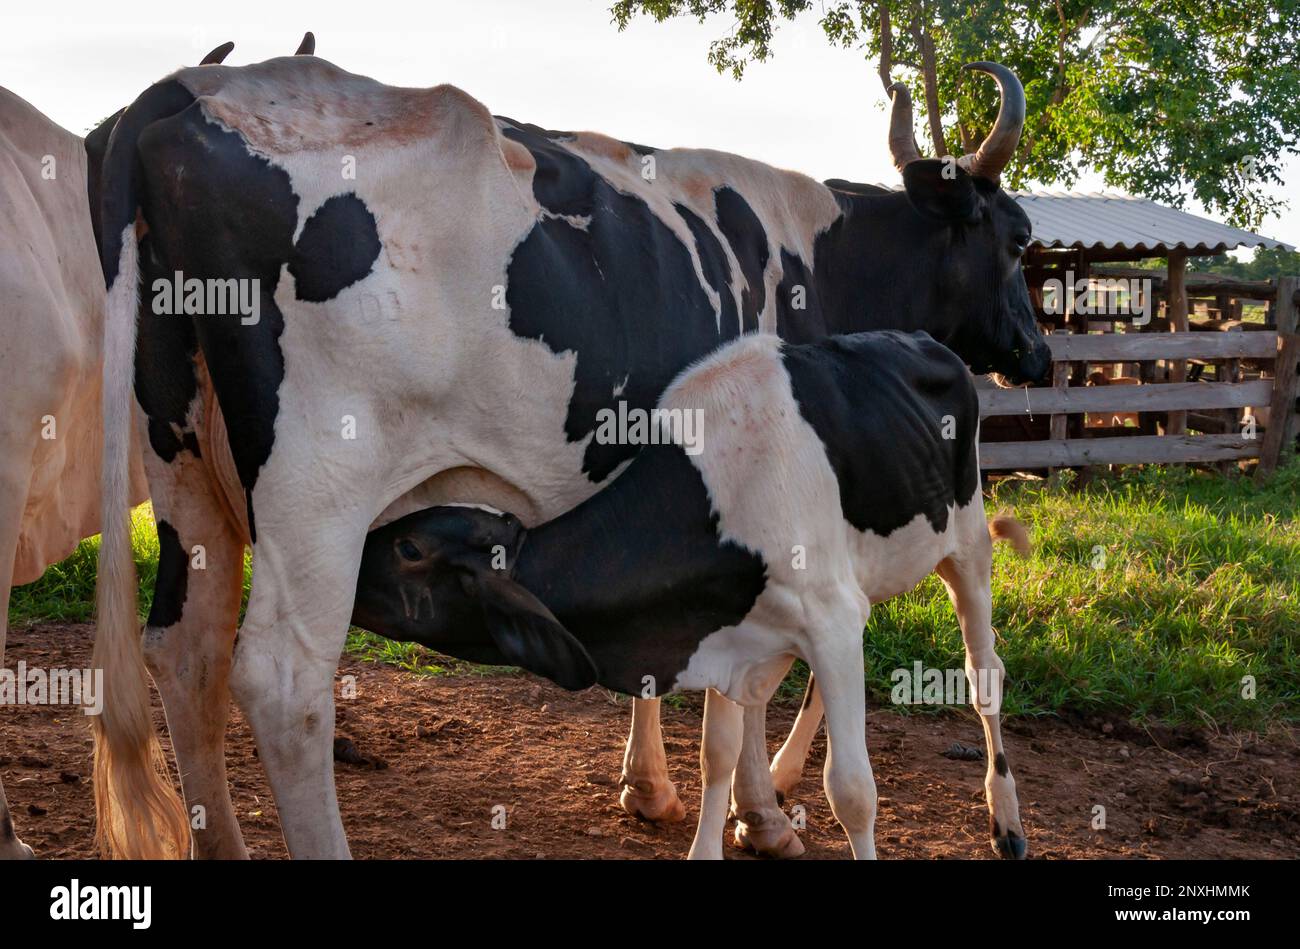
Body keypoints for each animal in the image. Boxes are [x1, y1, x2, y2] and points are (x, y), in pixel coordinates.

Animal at [351, 329, 1029, 859]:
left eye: (409, 548)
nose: (347, 565)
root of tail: (923, 339)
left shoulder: (829, 618)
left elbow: (853, 790)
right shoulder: (736, 630)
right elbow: (717, 754)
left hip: (968, 544)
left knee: (984, 673)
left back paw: (1007, 824)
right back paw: (780, 777)